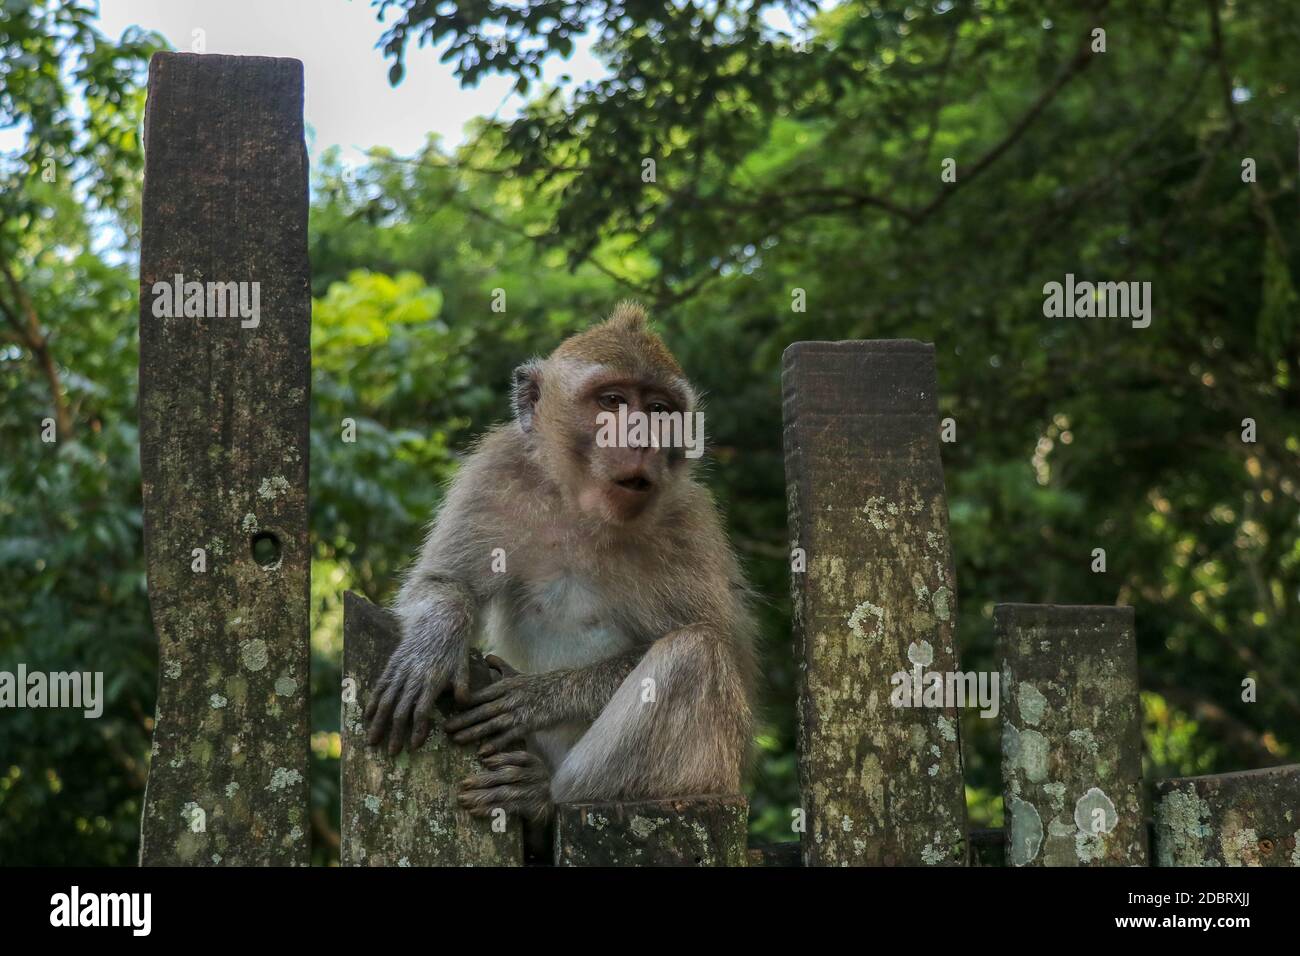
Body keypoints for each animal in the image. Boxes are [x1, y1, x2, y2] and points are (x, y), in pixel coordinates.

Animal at [364, 301, 757, 825]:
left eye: (658, 411)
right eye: (612, 401)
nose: (643, 438)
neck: (584, 510)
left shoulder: (688, 524)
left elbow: (729, 657)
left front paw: (540, 696)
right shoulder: (496, 471)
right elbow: (445, 581)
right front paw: (434, 647)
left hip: (709, 778)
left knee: (698, 653)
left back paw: (543, 795)